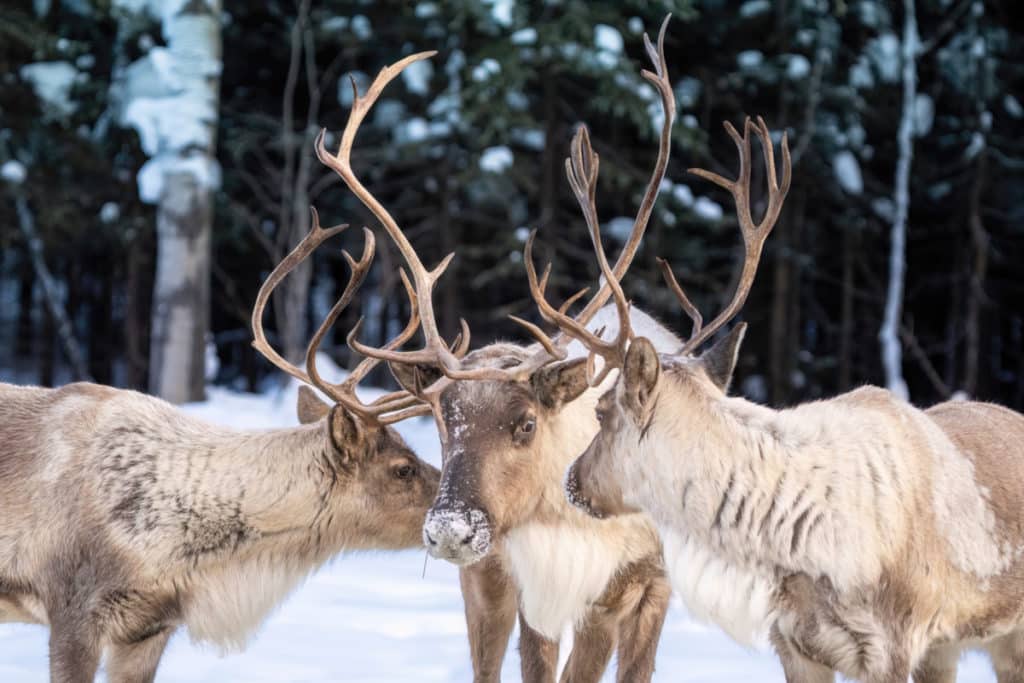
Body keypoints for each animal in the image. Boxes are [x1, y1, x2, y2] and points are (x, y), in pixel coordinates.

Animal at [317, 20, 680, 682]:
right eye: (440, 420)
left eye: (526, 423)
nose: (449, 531)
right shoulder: (526, 590)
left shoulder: (625, 590)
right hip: (486, 578)